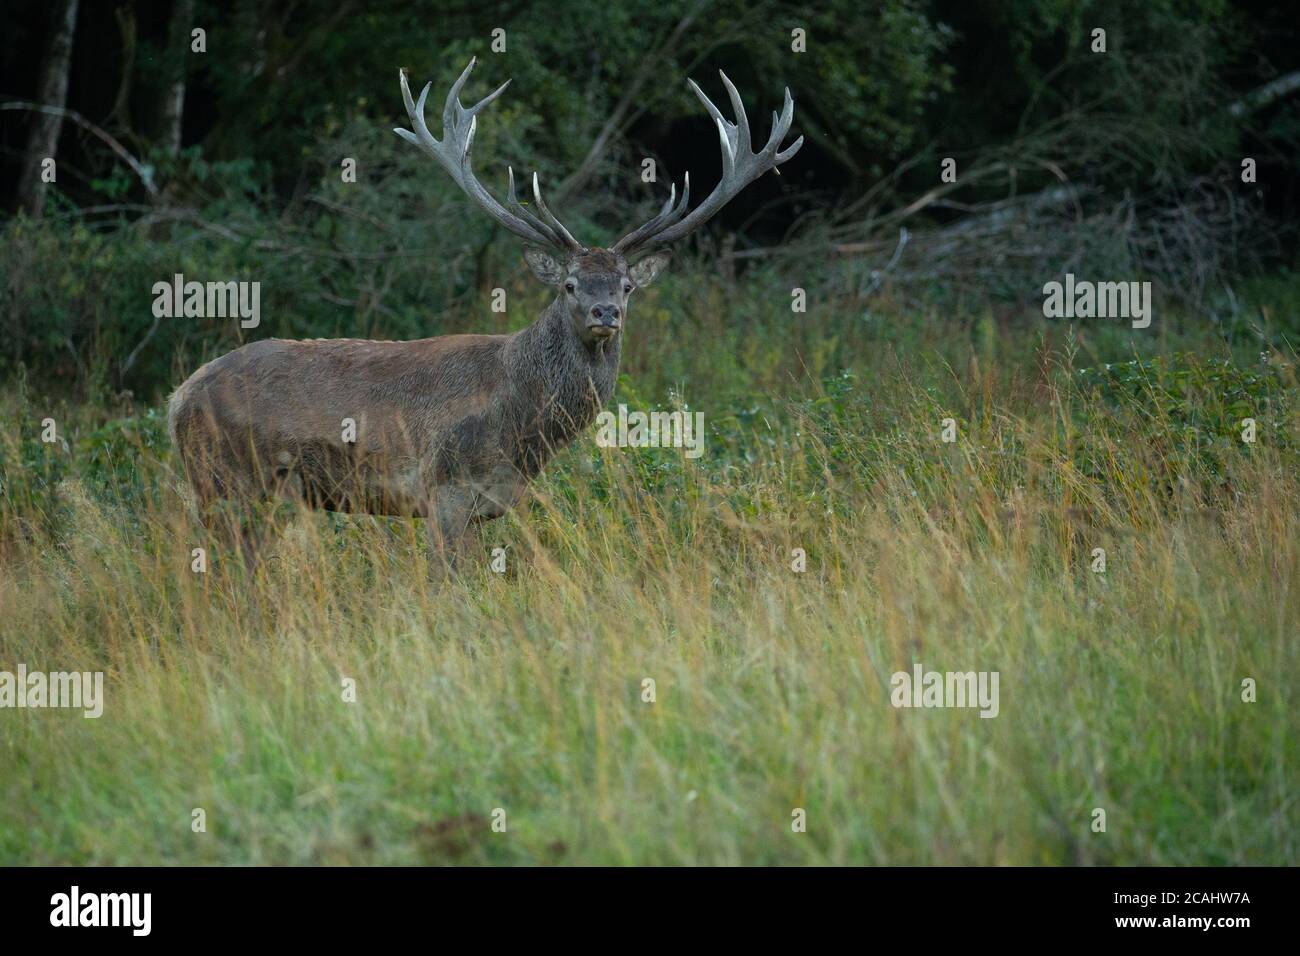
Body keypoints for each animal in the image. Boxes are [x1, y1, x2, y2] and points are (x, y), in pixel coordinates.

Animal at [167, 57, 802, 570]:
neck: (519, 425)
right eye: (570, 284)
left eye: (626, 286)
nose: (605, 313)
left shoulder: (486, 505)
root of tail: (177, 401)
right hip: (226, 479)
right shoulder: (443, 489)